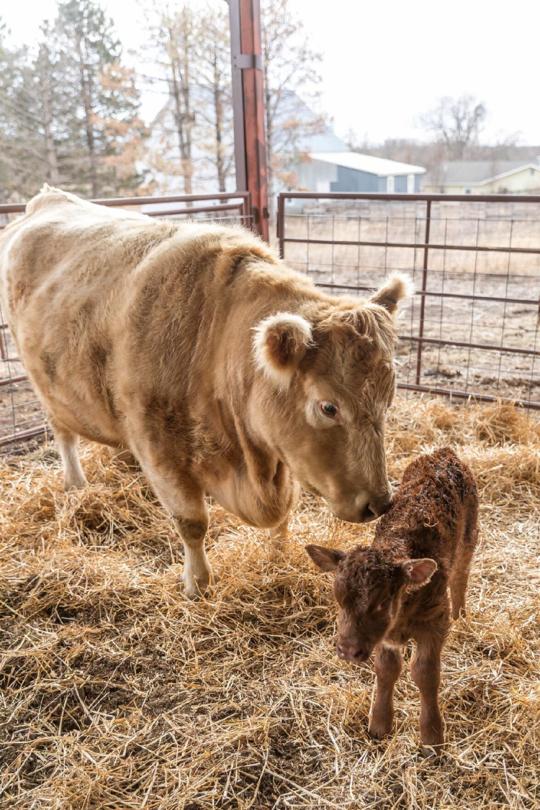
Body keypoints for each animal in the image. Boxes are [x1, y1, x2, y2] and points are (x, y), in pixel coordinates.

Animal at [0, 186, 411, 597]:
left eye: (389, 398)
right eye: (328, 407)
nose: (379, 503)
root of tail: (48, 198)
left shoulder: (281, 452)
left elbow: (285, 510)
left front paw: (279, 552)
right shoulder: (161, 453)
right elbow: (192, 523)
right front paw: (197, 583)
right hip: (45, 388)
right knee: (64, 435)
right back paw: (75, 482)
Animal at [307, 447, 478, 746]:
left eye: (382, 603)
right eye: (339, 599)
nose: (347, 651)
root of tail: (442, 453)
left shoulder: (436, 621)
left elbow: (425, 673)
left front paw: (431, 735)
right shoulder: (385, 638)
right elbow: (386, 670)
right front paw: (380, 724)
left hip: (470, 534)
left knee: (461, 575)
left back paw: (462, 615)